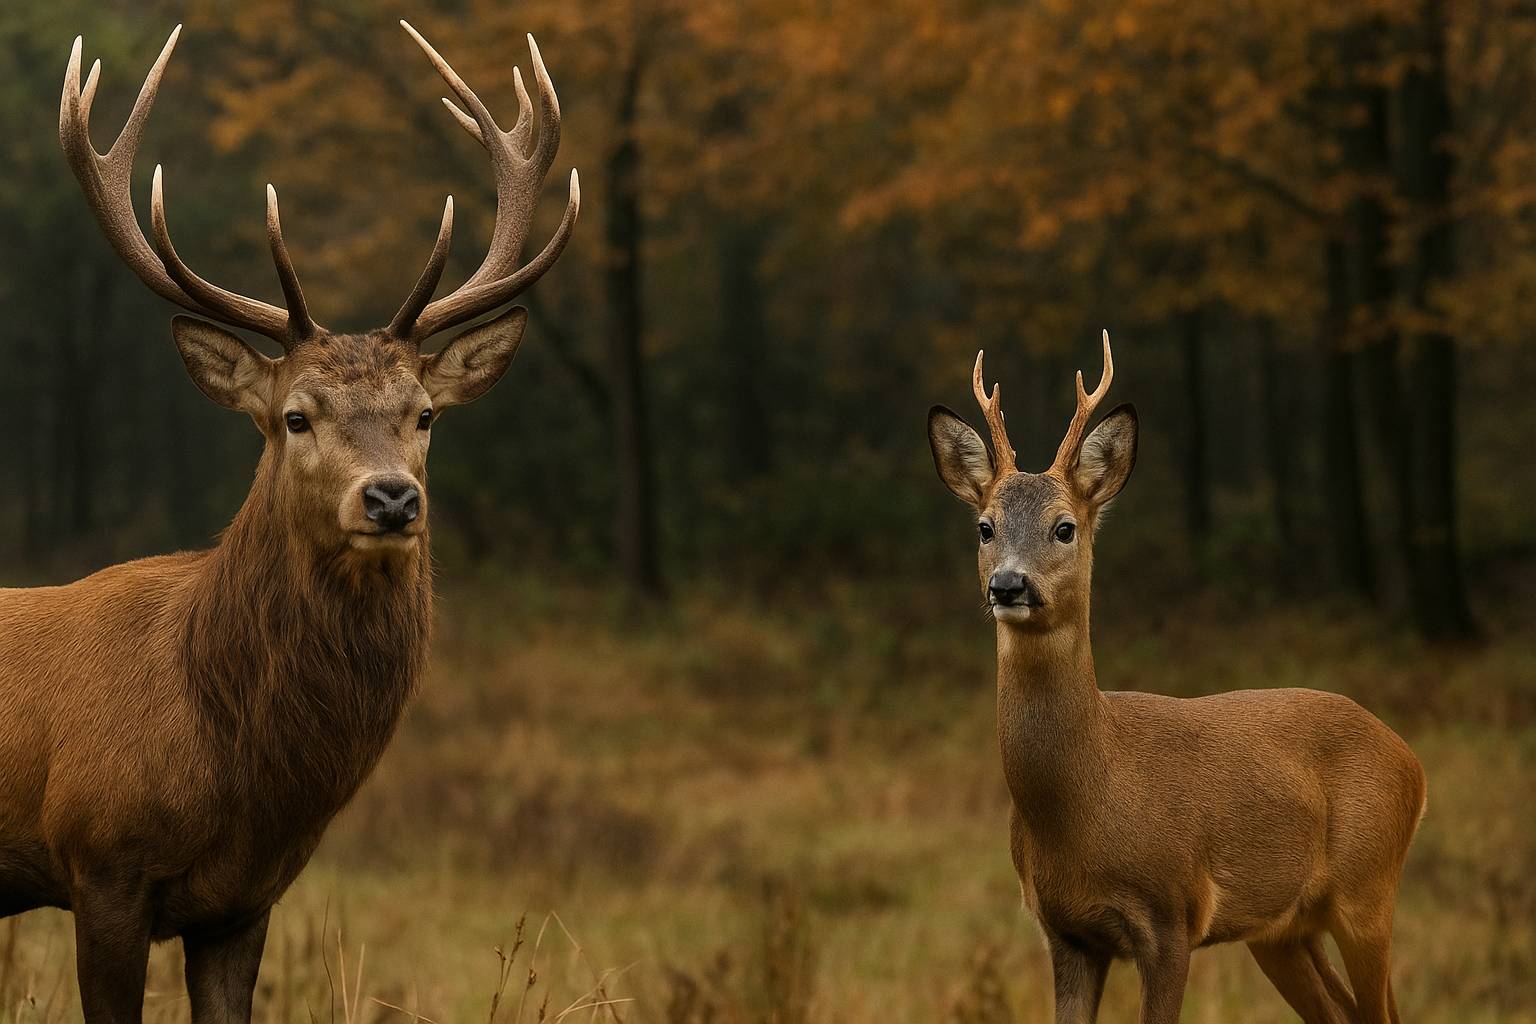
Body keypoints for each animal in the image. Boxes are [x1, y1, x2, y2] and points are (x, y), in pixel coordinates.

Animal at [927, 333, 1426, 1024]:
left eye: (1065, 527)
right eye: (985, 527)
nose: (1008, 584)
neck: (1089, 795)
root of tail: (1412, 762)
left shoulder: (1171, 914)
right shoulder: (1066, 932)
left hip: (1368, 889)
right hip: (1282, 930)